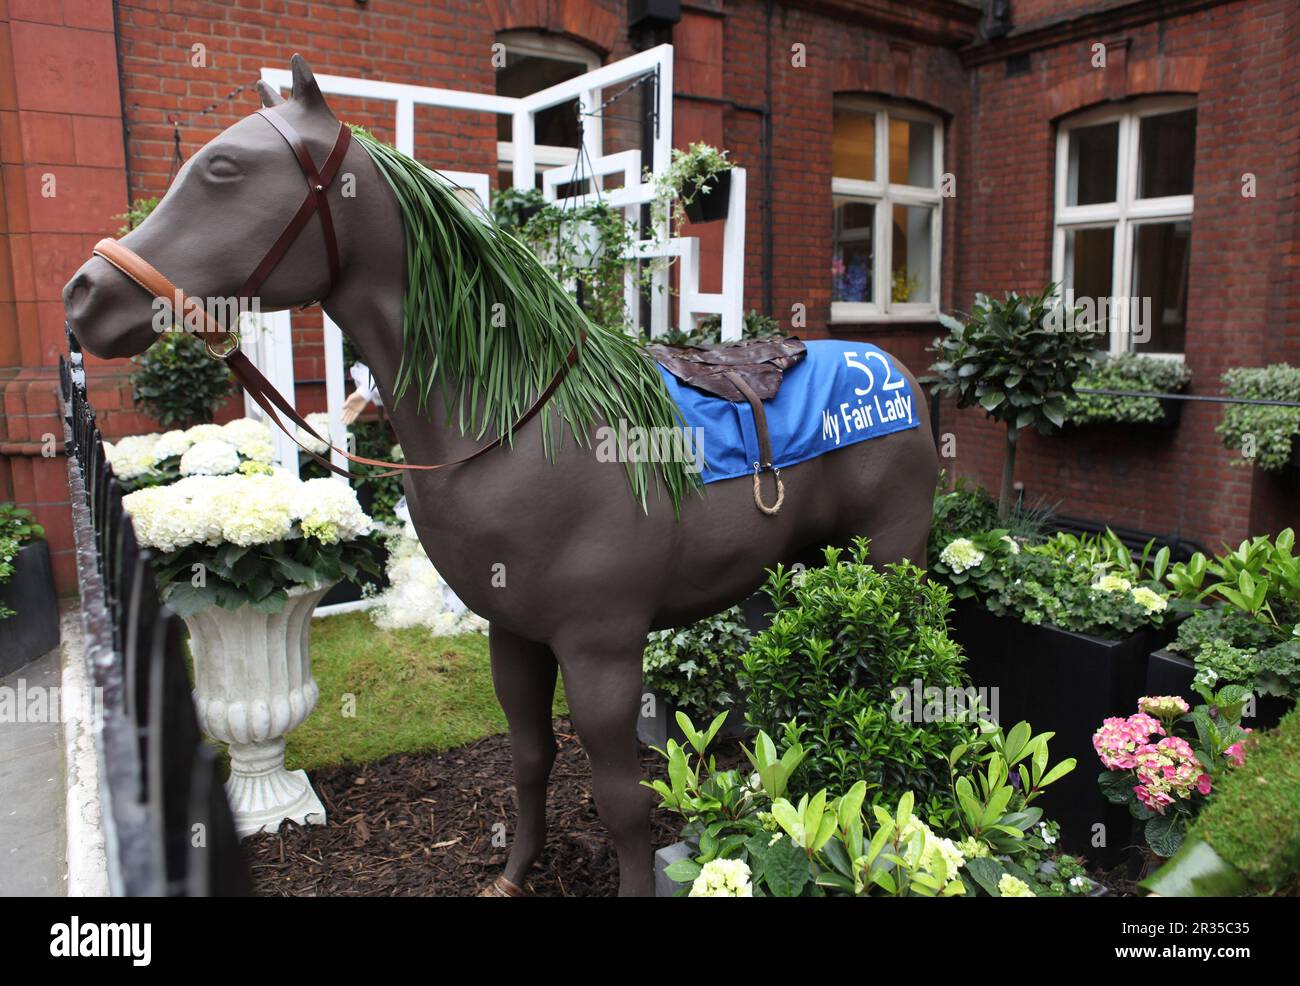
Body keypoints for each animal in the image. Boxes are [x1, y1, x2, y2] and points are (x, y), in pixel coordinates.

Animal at [63, 56, 938, 897]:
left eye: (224, 169)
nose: (85, 294)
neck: (518, 420)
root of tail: (891, 367)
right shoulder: (513, 634)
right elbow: (528, 760)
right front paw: (513, 876)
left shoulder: (600, 646)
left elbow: (620, 796)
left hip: (890, 558)